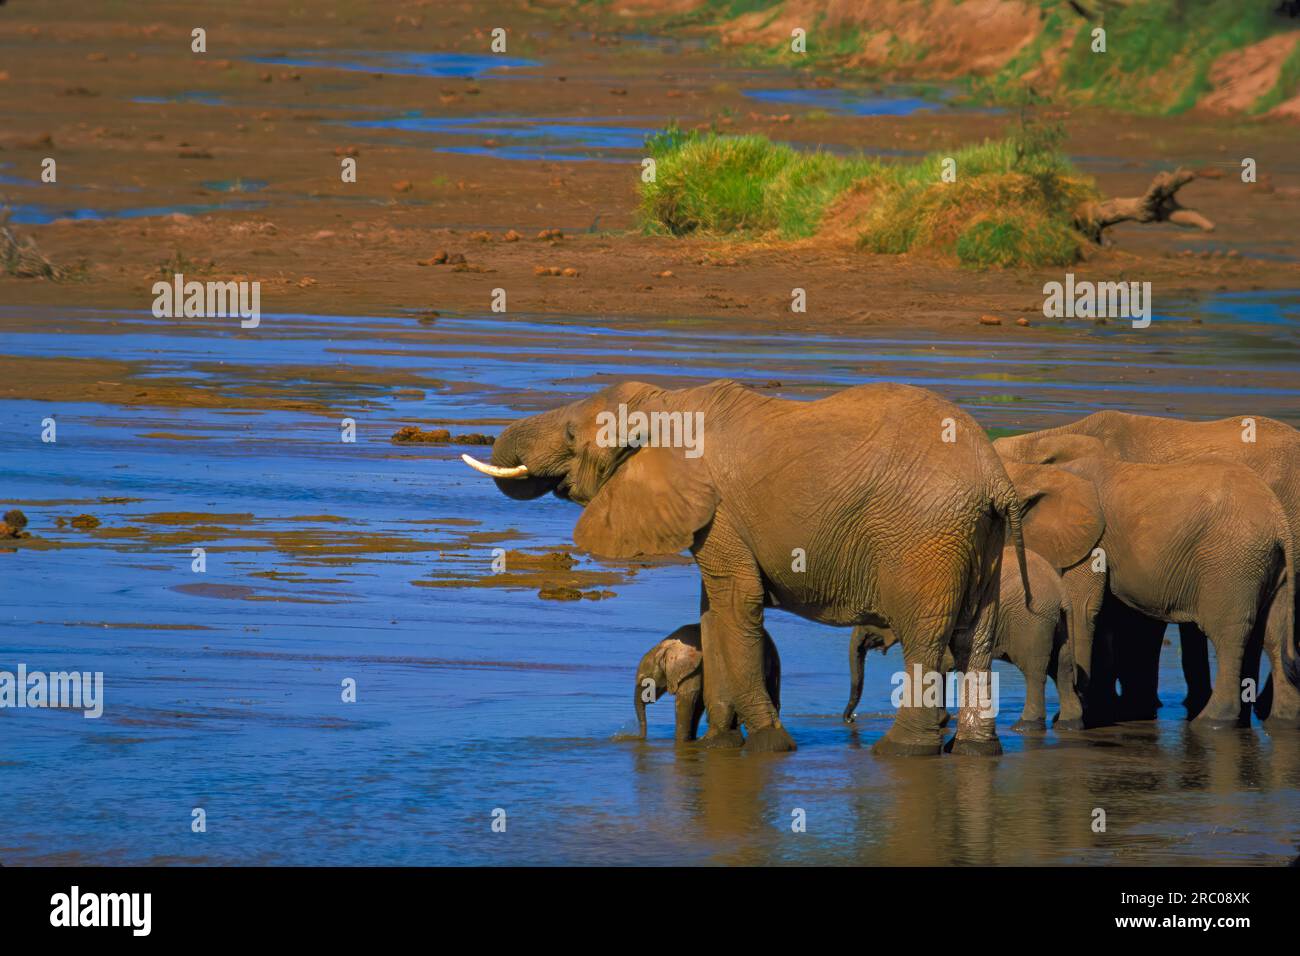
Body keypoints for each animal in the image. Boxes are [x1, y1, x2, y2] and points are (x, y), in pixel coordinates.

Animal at [633, 623, 780, 742]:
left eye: (645, 680)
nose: (638, 738)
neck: (667, 644)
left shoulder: (696, 666)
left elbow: (687, 698)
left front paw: (680, 742)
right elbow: (697, 702)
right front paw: (690, 739)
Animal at [844, 548, 1076, 733]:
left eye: (869, 614)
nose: (849, 719)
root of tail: (1061, 591)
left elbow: (941, 665)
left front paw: (939, 721)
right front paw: (942, 721)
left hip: (1031, 622)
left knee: (1034, 671)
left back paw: (1024, 726)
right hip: (1056, 624)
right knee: (1062, 667)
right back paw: (1068, 724)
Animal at [994, 410, 1300, 728]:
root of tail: (1277, 520)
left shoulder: (1094, 544)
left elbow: (1088, 609)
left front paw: (1090, 708)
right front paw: (1108, 709)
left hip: (1232, 561)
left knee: (1229, 635)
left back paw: (1211, 720)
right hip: (1268, 564)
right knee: (1274, 633)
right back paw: (1281, 718)